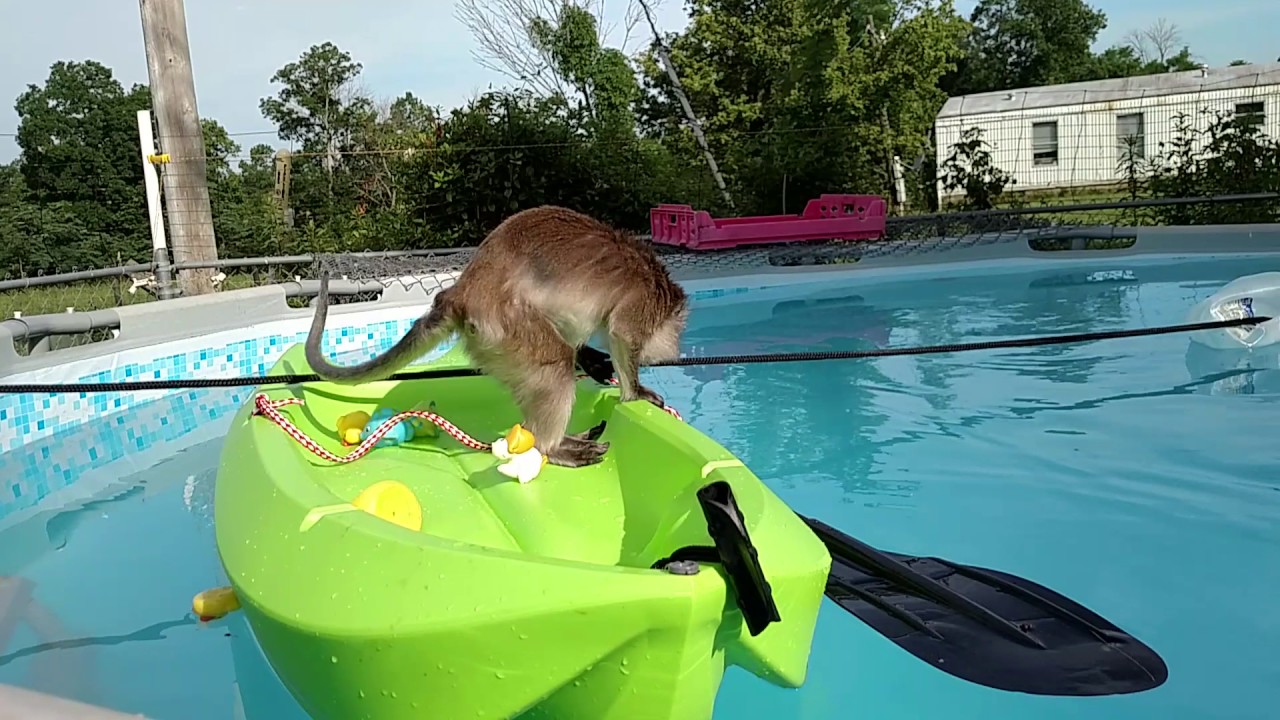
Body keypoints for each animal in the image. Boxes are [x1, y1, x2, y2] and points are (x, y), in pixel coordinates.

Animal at [303, 205, 689, 468]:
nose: (674, 347)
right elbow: (622, 333)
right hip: (504, 327)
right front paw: (634, 391)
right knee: (554, 364)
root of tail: (462, 291)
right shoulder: (643, 300)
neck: (657, 280)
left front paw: (593, 360)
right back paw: (551, 447)